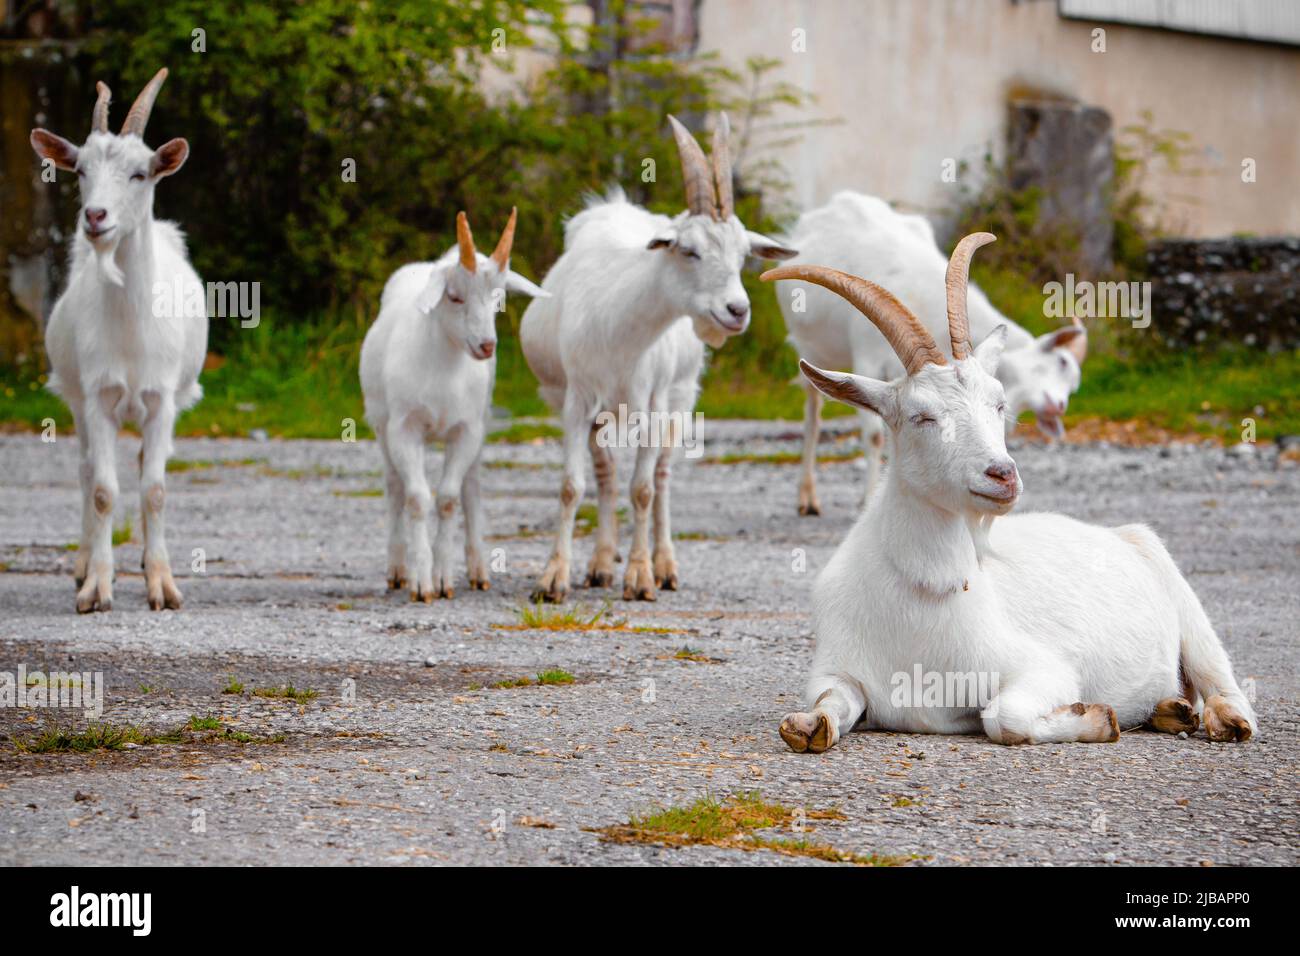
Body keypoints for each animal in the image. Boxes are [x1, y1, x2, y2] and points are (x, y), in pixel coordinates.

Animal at [31, 69, 205, 613]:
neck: (130, 330)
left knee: (146, 465)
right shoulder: (98, 397)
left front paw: (163, 585)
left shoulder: (162, 400)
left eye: (139, 173)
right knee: (87, 471)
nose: (96, 217)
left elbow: (155, 489)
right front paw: (97, 588)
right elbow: (105, 490)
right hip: (76, 400)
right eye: (81, 170)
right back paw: (85, 562)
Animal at [360, 209, 546, 600]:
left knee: (471, 486)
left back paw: (477, 571)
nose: (486, 345)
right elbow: (417, 497)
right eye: (455, 297)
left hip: (481, 423)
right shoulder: (404, 429)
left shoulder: (467, 430)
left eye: (498, 298)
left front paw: (444, 578)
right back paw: (397, 569)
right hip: (381, 425)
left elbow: (447, 498)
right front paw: (421, 583)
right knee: (394, 486)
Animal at [520, 114, 797, 603]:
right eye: (688, 250)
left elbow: (644, 489)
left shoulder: (653, 403)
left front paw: (641, 577)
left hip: (681, 398)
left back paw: (664, 565)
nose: (736, 311)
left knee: (663, 476)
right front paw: (553, 578)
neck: (621, 328)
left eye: (744, 254)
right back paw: (599, 564)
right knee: (606, 471)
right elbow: (573, 486)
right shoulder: (575, 401)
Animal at [763, 235, 1256, 750]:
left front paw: (1097, 718)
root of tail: (1122, 535)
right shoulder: (838, 669)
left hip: (1180, 596)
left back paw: (1224, 718)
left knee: (1219, 678)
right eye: (922, 416)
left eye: (999, 404)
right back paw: (1170, 710)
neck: (923, 591)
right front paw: (808, 726)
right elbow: (820, 709)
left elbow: (1004, 717)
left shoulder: (1040, 669)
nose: (1003, 475)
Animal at [777, 191, 1087, 515]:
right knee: (812, 416)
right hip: (810, 348)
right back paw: (807, 498)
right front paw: (868, 500)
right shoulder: (866, 358)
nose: (1059, 405)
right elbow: (873, 435)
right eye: (1060, 361)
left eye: (1000, 404)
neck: (917, 288)